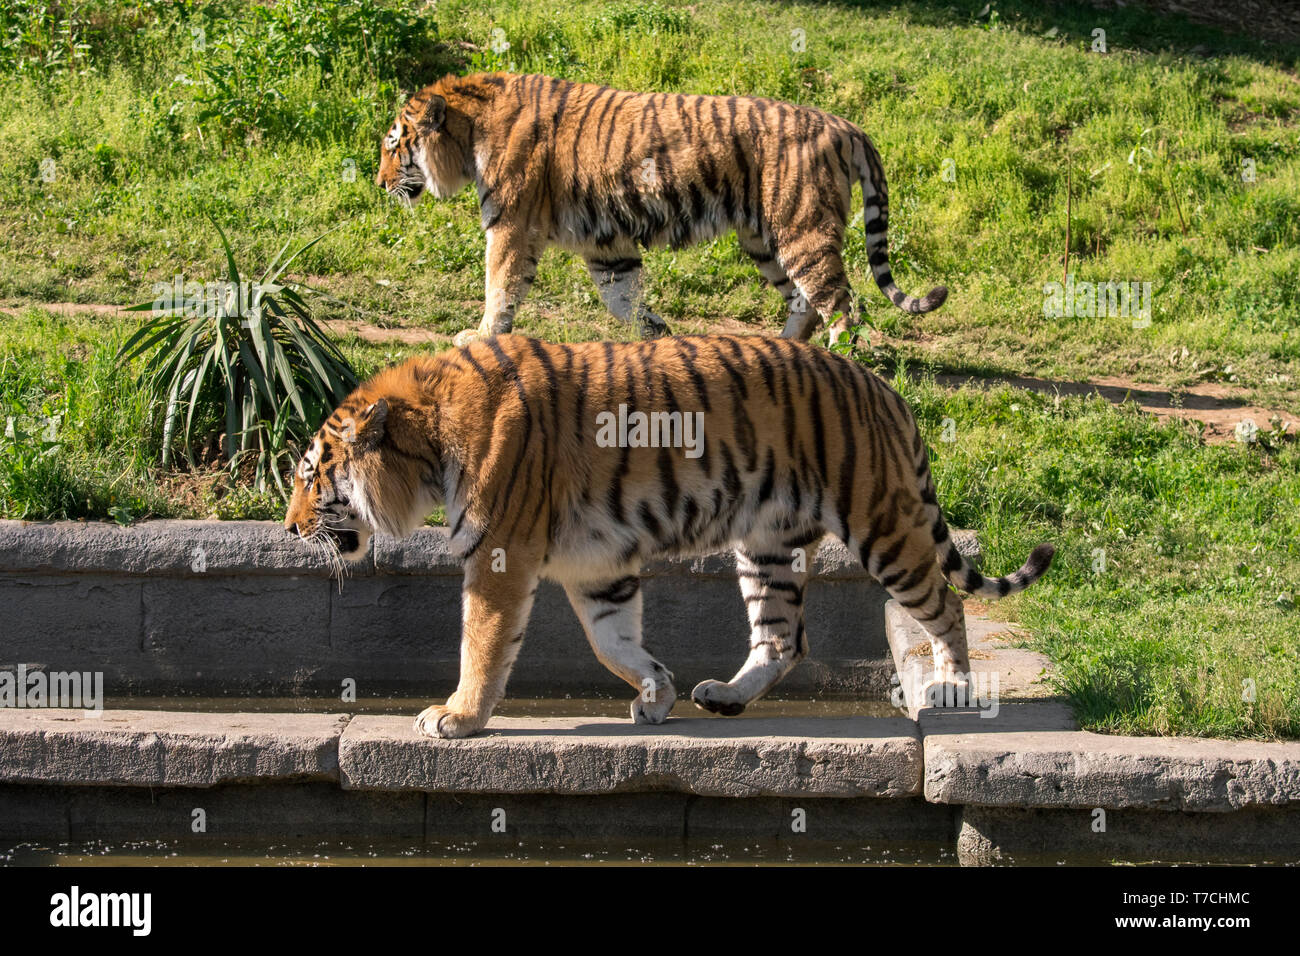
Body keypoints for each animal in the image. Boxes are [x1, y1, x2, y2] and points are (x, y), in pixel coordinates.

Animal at [284, 334, 1053, 739]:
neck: (425, 445)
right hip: (766, 545)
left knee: (945, 604)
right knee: (783, 638)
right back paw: (725, 697)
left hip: (881, 524)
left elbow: (483, 642)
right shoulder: (598, 568)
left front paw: (457, 716)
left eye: (311, 476)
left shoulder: (500, 554)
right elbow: (612, 641)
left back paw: (952, 690)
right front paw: (657, 695)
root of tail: (886, 389)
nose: (289, 529)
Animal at [375, 72, 948, 348]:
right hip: (764, 241)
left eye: (392, 144)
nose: (379, 183)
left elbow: (500, 284)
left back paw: (834, 356)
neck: (468, 130)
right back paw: (784, 349)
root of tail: (845, 125)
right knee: (804, 302)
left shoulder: (511, 223)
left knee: (842, 304)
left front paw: (481, 336)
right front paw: (656, 332)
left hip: (801, 229)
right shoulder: (606, 243)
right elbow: (621, 296)